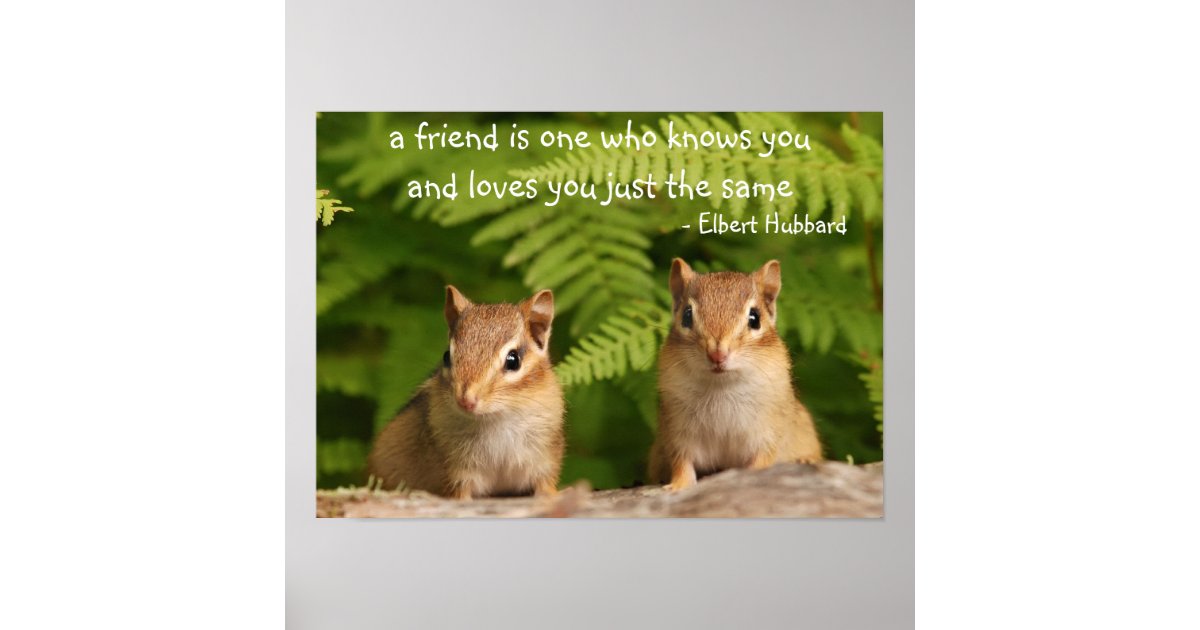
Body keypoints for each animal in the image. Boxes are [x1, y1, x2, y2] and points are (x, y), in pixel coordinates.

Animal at [367, 286, 565, 500]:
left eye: (513, 360)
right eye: (446, 356)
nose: (466, 400)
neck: (496, 419)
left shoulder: (544, 460)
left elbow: (546, 485)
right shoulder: (456, 470)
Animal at [648, 258, 822, 491]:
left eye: (755, 318)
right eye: (686, 315)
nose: (717, 354)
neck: (721, 385)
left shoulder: (768, 433)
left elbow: (763, 459)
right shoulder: (676, 432)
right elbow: (682, 463)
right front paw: (678, 486)